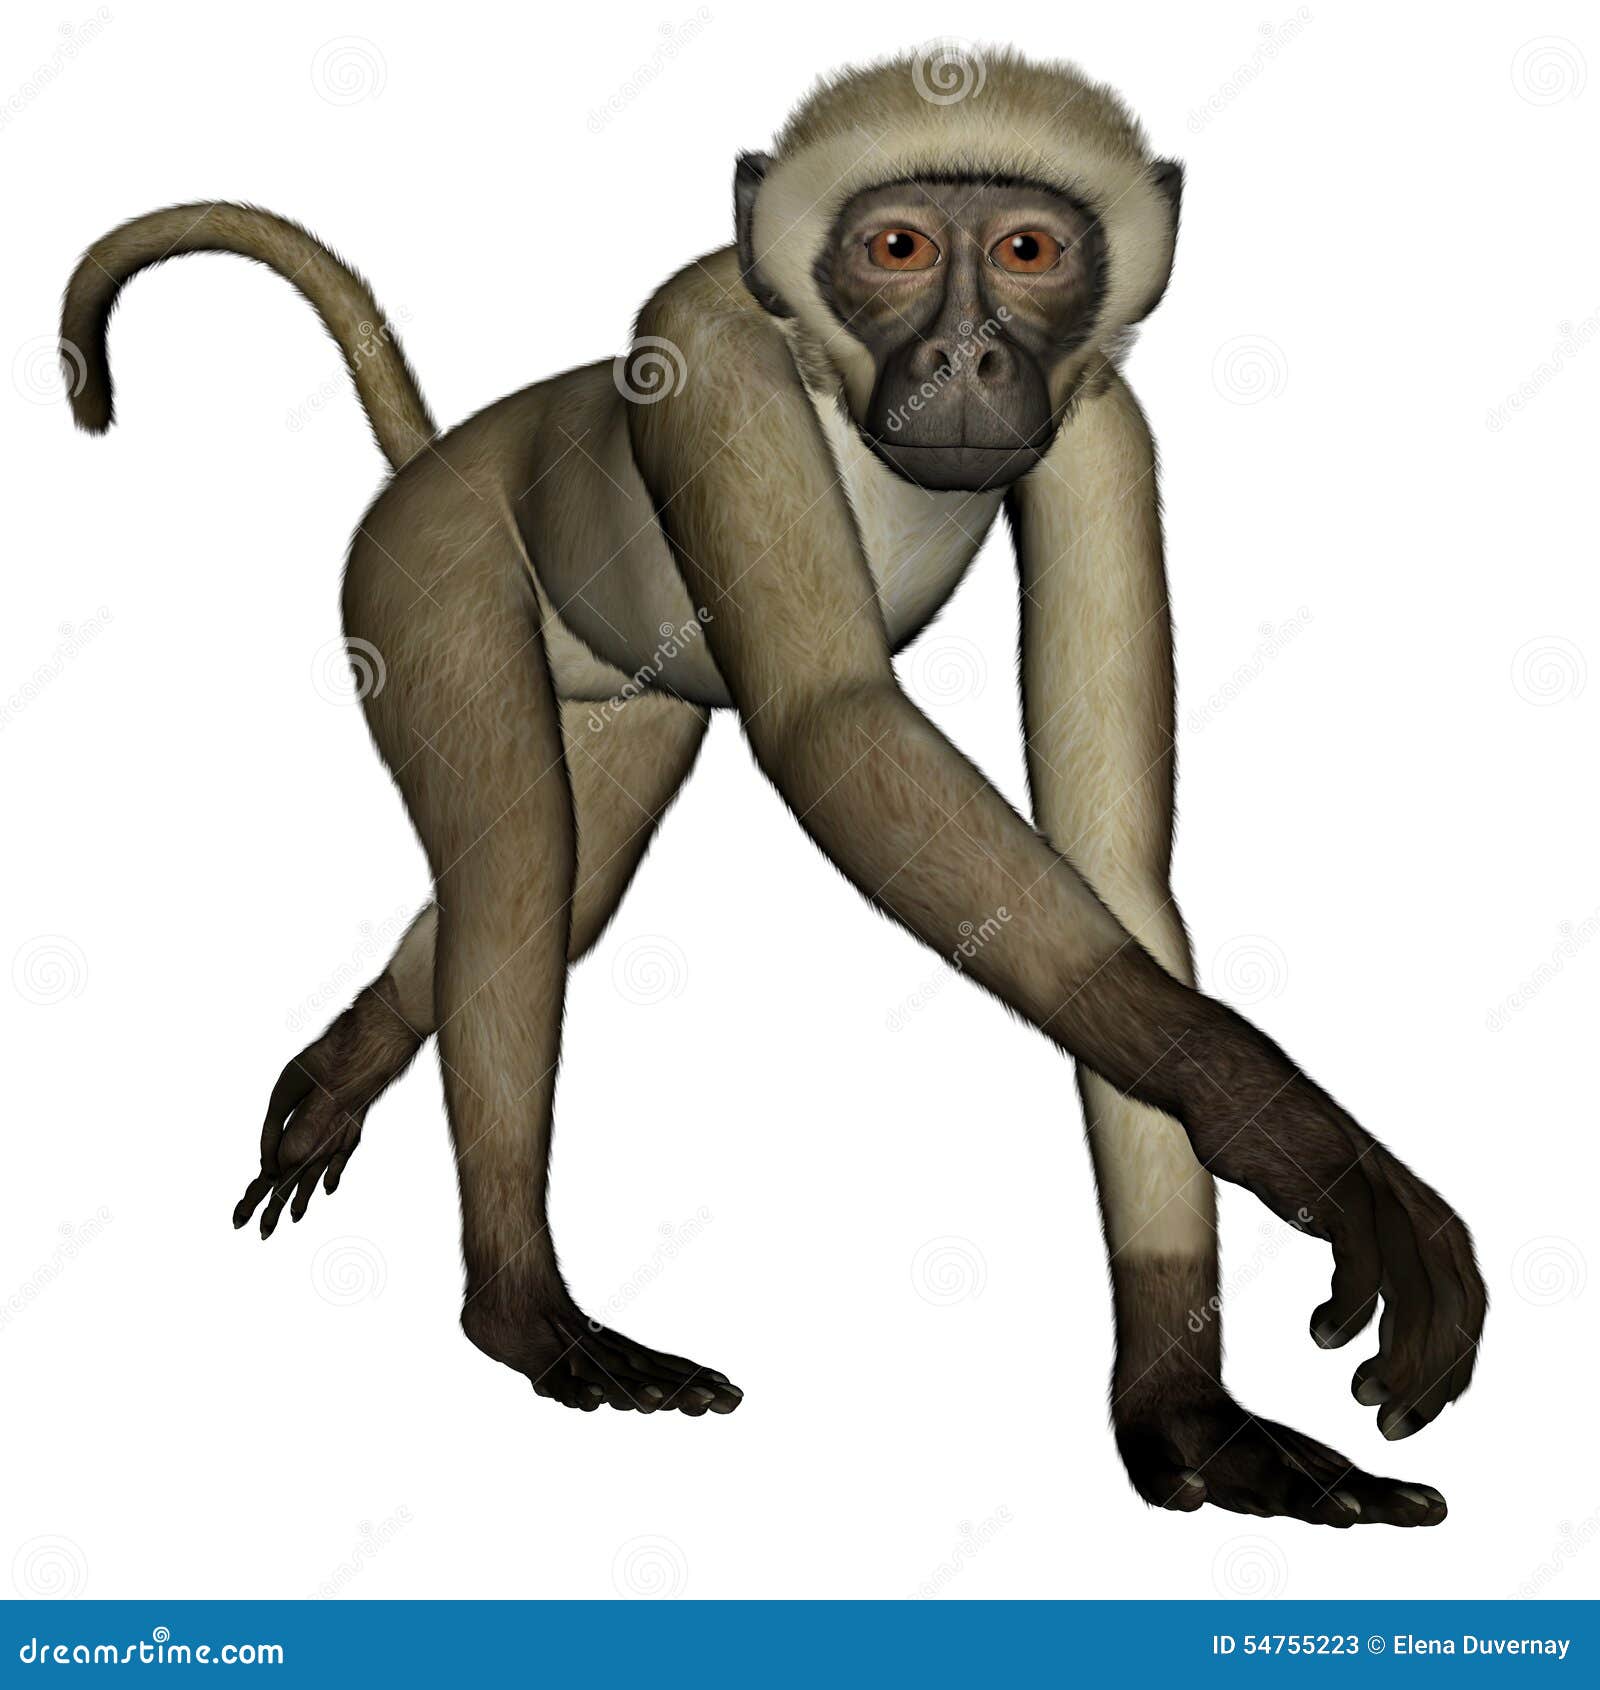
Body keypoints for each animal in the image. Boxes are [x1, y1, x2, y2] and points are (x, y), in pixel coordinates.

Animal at [61, 47, 1484, 1526]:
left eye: (1027, 251)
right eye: (896, 248)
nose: (970, 356)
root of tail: (442, 454)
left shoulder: (1101, 433)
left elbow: (1114, 868)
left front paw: (1187, 1412)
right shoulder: (706, 350)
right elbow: (828, 725)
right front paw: (1302, 1143)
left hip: (627, 696)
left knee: (561, 888)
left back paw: (343, 1071)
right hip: (423, 574)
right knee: (518, 875)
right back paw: (526, 1317)